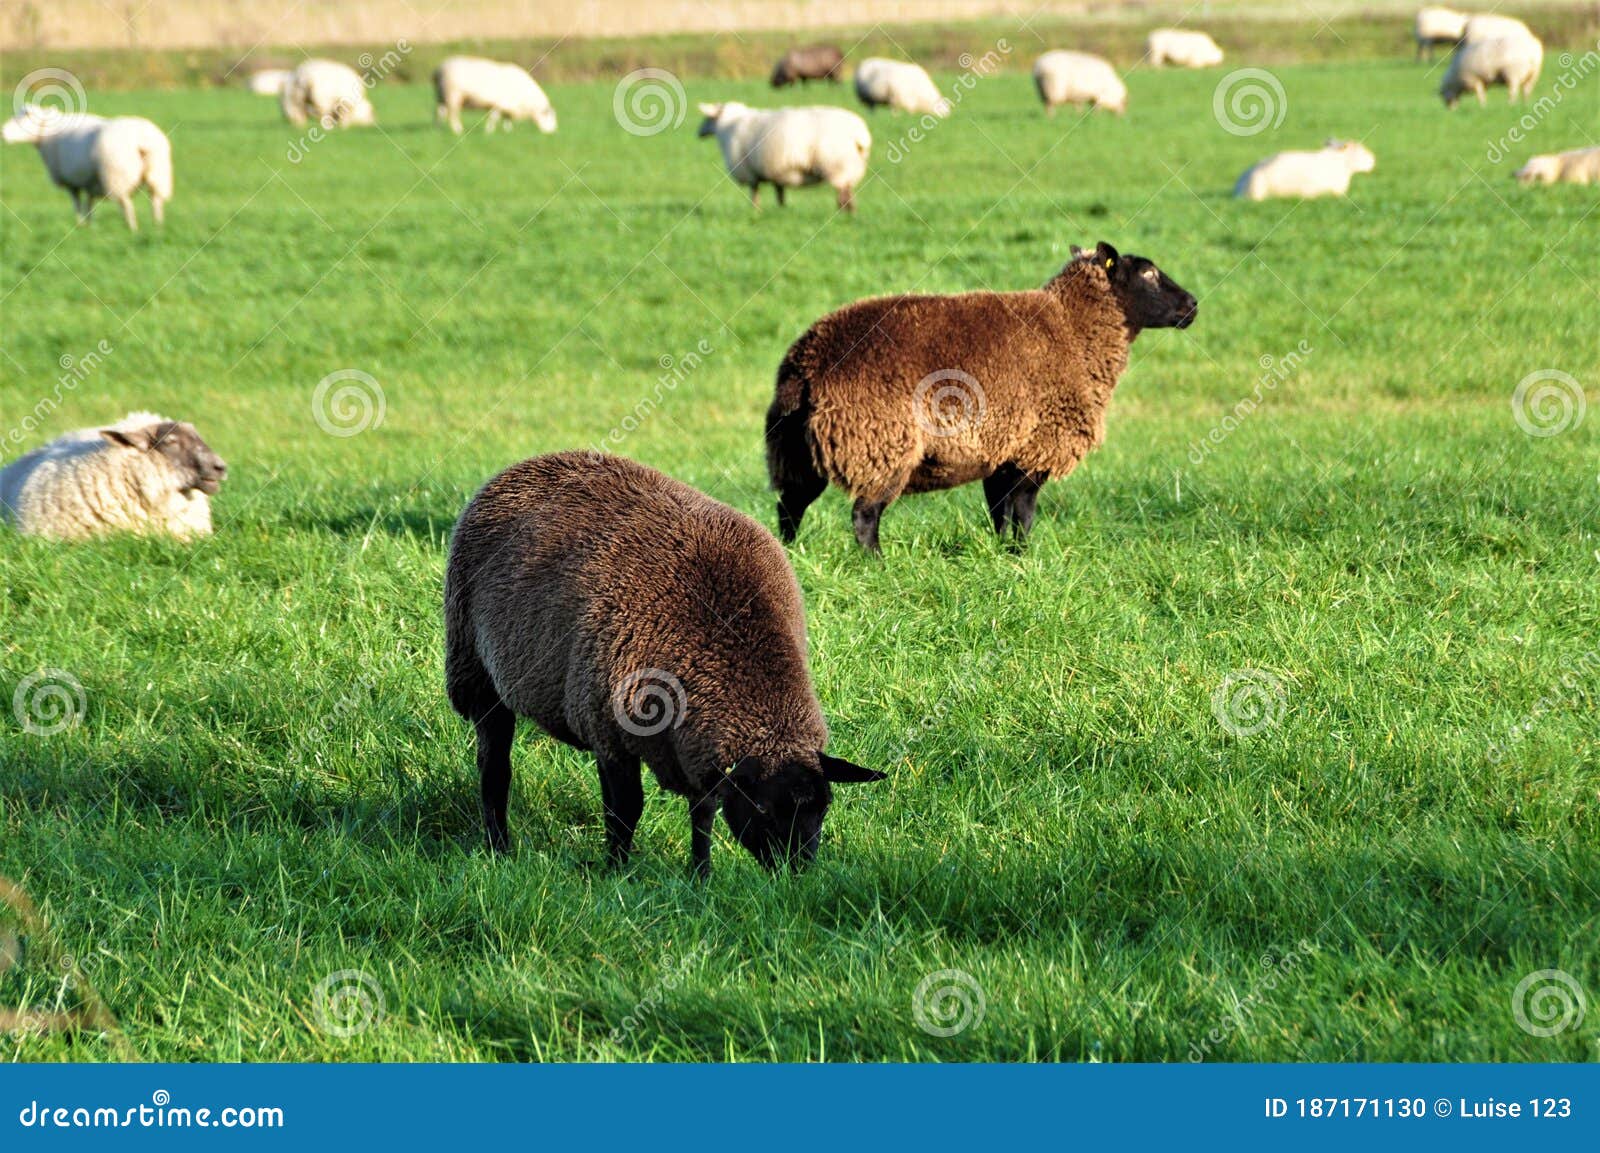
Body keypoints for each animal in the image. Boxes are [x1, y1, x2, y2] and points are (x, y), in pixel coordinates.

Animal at [1, 109, 172, 231]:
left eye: (21, 118)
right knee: (156, 201)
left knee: (127, 205)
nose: (2, 132)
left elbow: (77, 203)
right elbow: (89, 204)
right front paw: (90, 226)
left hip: (117, 176)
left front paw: (80, 225)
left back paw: (132, 229)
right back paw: (158, 226)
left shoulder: (71, 182)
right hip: (159, 174)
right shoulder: (90, 181)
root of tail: (142, 139)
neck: (46, 135)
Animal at [444, 451, 885, 876]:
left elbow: (703, 814)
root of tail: (528, 464)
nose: (797, 874)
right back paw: (499, 846)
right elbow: (625, 810)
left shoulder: (693, 748)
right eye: (761, 807)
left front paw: (700, 876)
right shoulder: (608, 730)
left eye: (824, 806)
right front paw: (616, 871)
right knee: (494, 768)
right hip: (475, 671)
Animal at [696, 101, 871, 211]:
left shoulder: (750, 173)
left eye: (708, 118)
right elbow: (780, 195)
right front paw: (781, 211)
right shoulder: (776, 173)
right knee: (848, 195)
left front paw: (755, 212)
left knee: (844, 197)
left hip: (838, 166)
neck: (729, 124)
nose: (698, 133)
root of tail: (860, 135)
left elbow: (755, 195)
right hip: (850, 169)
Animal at [765, 242, 1198, 552]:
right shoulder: (1037, 445)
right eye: (1148, 272)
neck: (1073, 330)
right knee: (864, 515)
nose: (1193, 305)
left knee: (790, 506)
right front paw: (1023, 557)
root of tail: (806, 362)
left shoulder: (1002, 449)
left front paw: (1000, 554)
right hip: (878, 442)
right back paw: (876, 565)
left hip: (797, 450)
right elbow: (1023, 513)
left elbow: (999, 513)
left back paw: (790, 556)